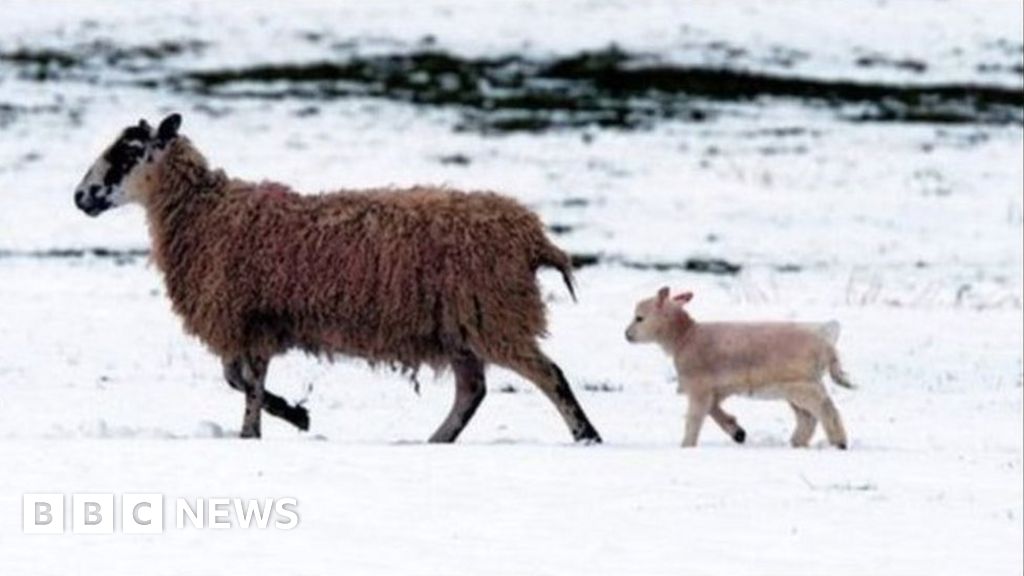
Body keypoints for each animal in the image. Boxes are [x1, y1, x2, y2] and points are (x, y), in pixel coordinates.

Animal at [72, 113, 602, 444]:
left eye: (128, 151)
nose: (80, 197)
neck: (204, 213)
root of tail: (530, 233)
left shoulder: (250, 318)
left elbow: (247, 383)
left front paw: (255, 431)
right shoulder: (253, 321)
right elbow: (238, 379)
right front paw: (294, 414)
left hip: (494, 315)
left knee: (549, 376)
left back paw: (587, 438)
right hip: (461, 327)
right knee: (472, 392)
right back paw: (433, 441)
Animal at [624, 287, 853, 449]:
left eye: (639, 318)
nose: (626, 335)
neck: (684, 336)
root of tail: (826, 343)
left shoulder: (699, 386)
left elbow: (695, 417)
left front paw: (687, 445)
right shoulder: (716, 388)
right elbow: (713, 410)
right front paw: (737, 432)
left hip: (802, 384)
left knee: (825, 408)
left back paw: (839, 442)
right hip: (797, 386)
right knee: (808, 417)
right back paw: (798, 443)